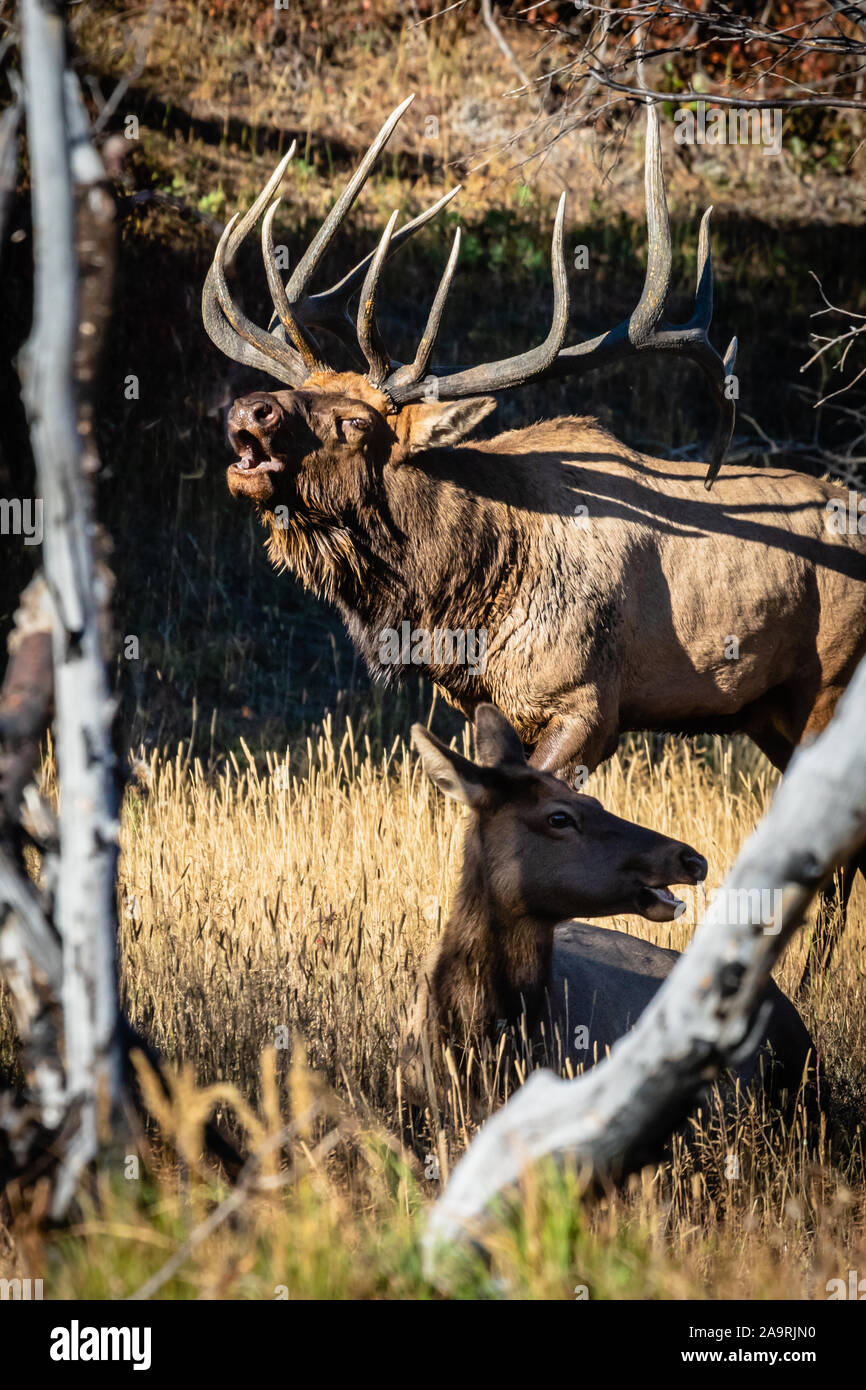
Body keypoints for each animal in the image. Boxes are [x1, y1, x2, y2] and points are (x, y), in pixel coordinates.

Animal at [202, 95, 866, 977]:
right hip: (768, 712)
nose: (250, 410)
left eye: (356, 422)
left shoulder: (589, 702)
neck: (464, 598)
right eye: (301, 392)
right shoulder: (485, 704)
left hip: (830, 687)